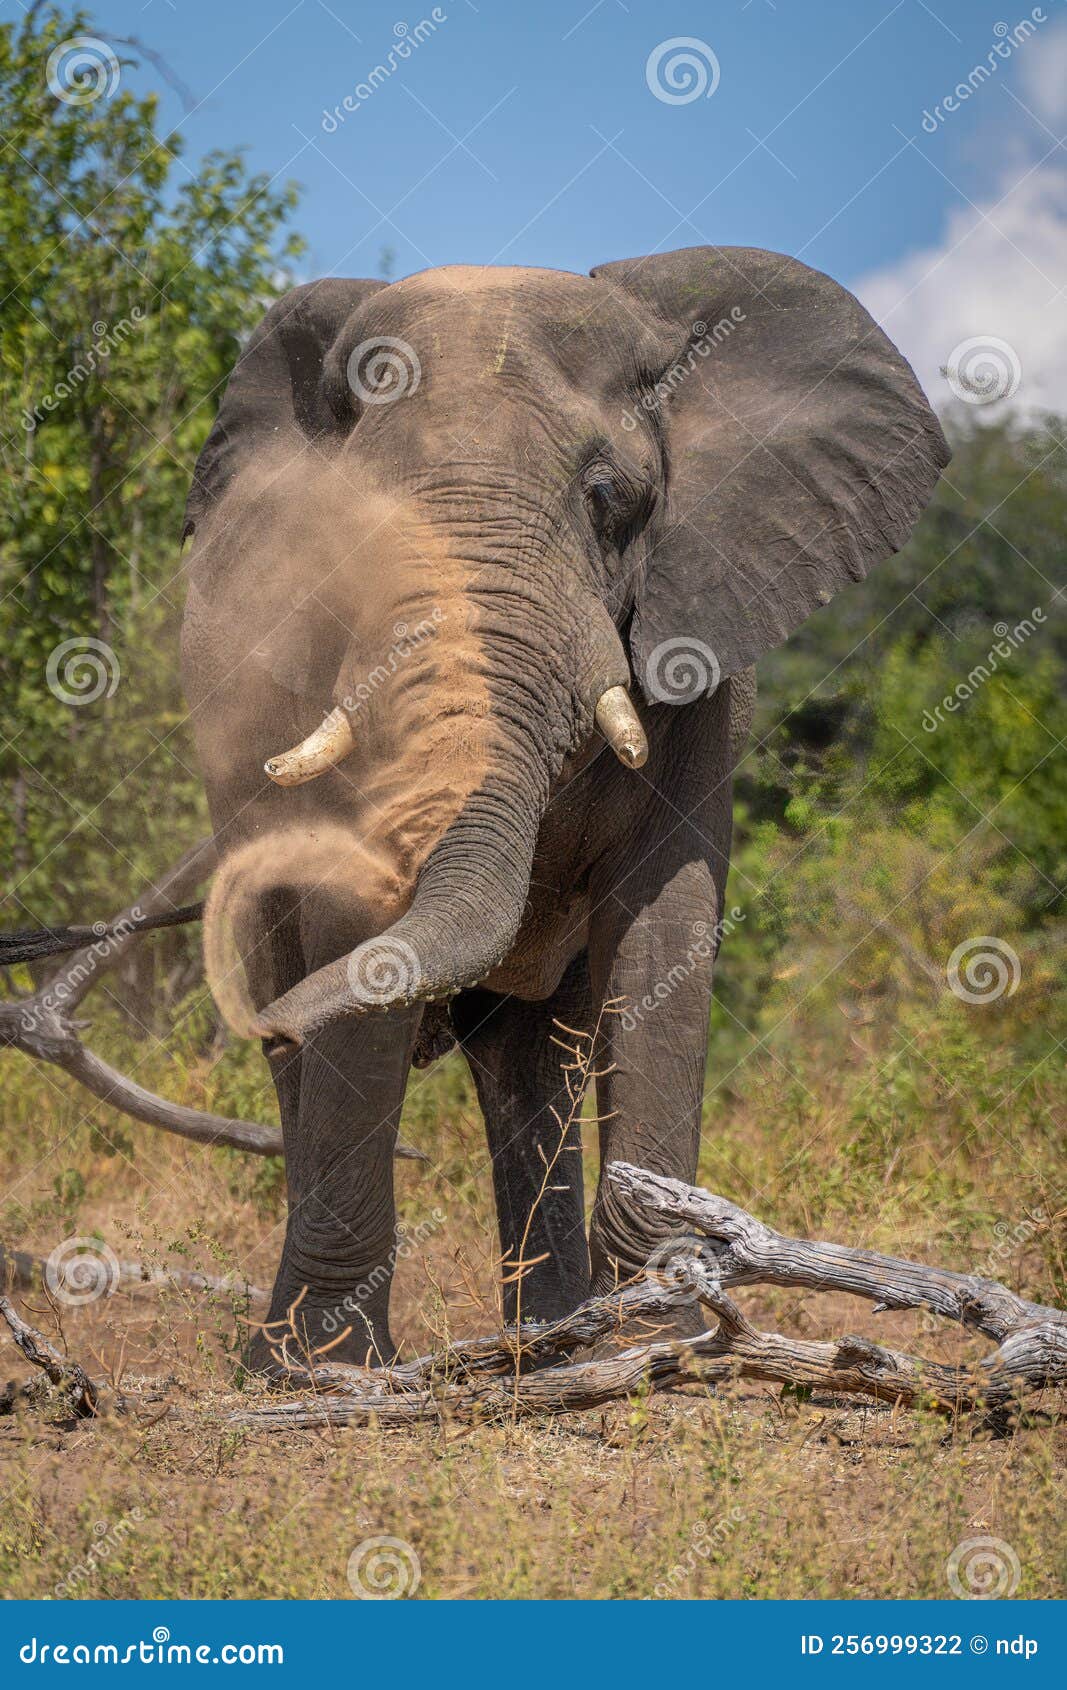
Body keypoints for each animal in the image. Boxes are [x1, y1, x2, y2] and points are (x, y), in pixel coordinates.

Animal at [179, 246, 949, 1369]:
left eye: (607, 496)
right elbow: (351, 919)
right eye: (344, 530)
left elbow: (665, 922)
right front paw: (328, 1372)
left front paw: (654, 1337)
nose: (263, 1020)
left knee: (529, 1056)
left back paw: (548, 1338)